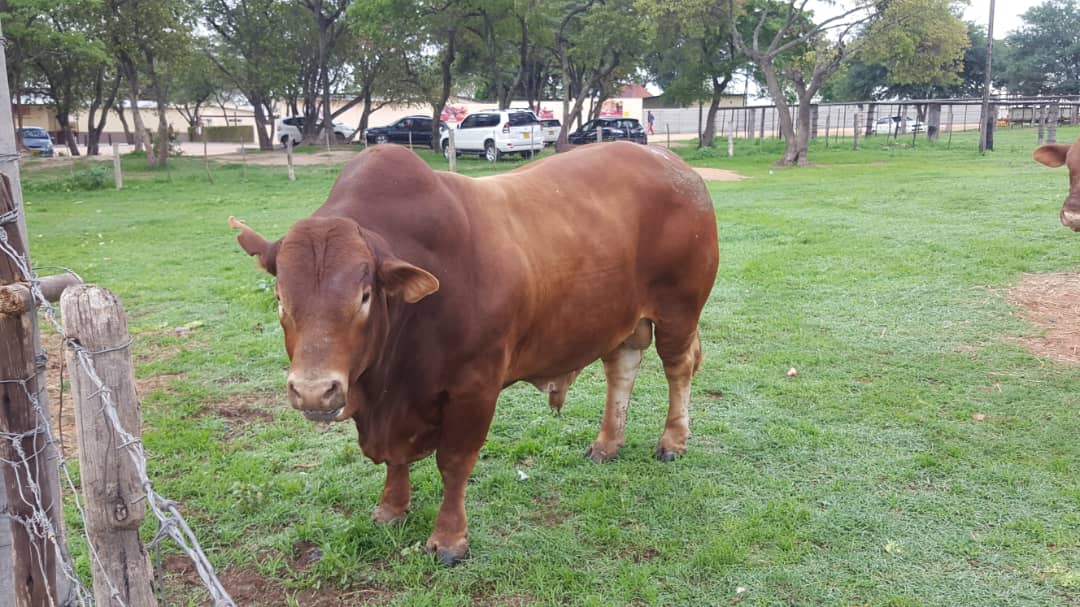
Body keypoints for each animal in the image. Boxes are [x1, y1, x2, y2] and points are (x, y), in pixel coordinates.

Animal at [229, 141, 719, 565]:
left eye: (364, 296)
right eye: (279, 297)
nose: (314, 391)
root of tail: (674, 165)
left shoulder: (475, 387)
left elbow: (454, 462)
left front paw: (449, 539)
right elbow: (397, 461)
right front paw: (391, 508)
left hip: (678, 311)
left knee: (678, 368)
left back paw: (672, 440)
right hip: (623, 319)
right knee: (622, 367)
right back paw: (607, 443)